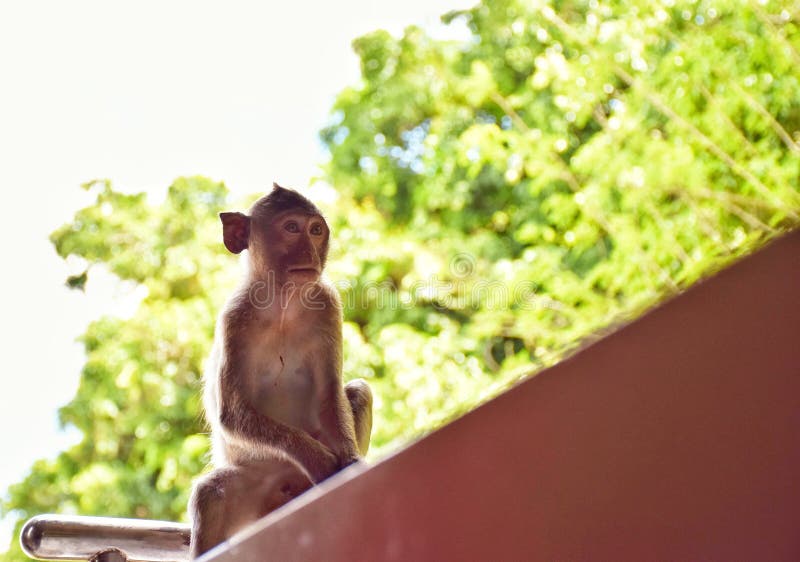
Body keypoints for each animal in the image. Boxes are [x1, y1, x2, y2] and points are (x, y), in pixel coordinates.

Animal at [189, 183, 373, 558]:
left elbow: (330, 396)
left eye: (315, 230)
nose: (310, 251)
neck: (283, 304)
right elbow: (233, 414)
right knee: (210, 494)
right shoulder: (235, 318)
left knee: (358, 392)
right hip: (254, 492)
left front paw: (349, 466)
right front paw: (321, 463)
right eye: (291, 228)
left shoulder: (327, 303)